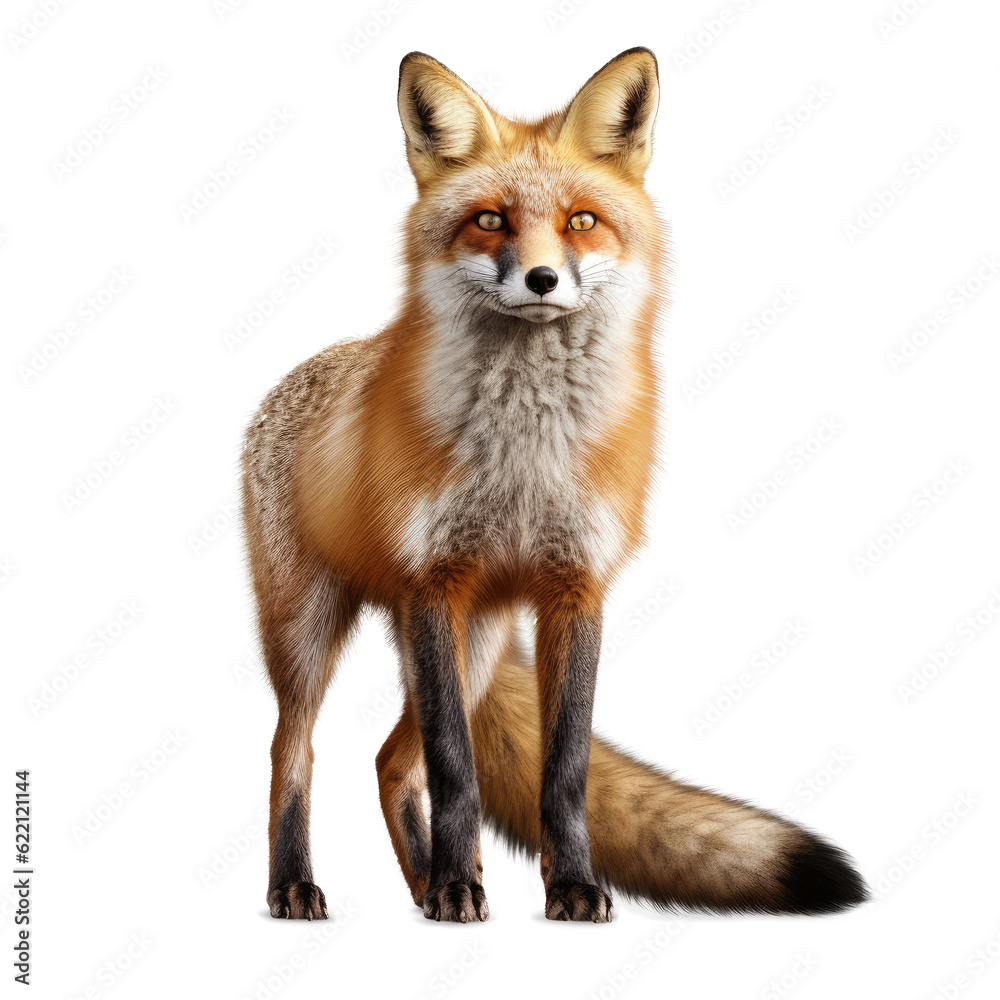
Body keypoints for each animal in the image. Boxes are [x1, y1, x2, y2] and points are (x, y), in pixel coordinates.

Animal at [241, 47, 868, 923]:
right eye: (489, 220)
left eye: (580, 221)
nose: (541, 278)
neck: (525, 457)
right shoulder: (436, 584)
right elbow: (457, 770)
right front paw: (460, 888)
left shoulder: (577, 586)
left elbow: (564, 766)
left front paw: (568, 884)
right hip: (311, 625)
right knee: (291, 751)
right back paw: (303, 883)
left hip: (474, 650)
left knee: (391, 762)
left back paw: (426, 880)